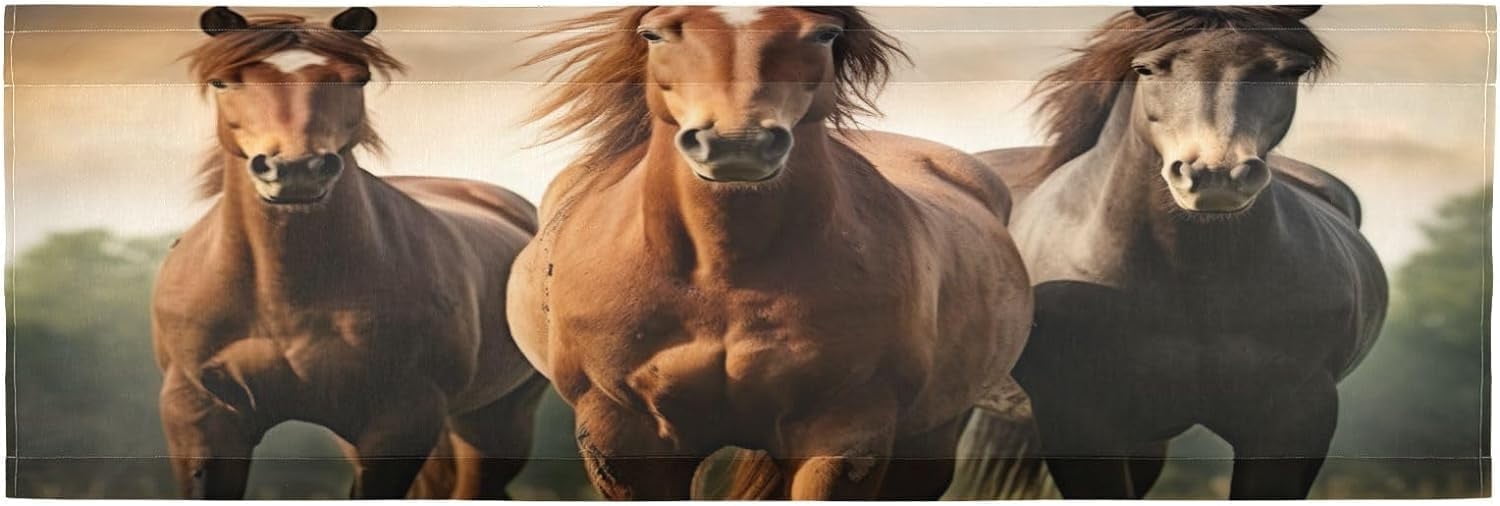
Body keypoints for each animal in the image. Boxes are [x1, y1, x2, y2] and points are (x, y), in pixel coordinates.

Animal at [151, 7, 544, 499]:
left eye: (357, 79)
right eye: (223, 82)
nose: (296, 170)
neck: (285, 290)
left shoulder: (401, 421)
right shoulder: (200, 420)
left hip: (496, 422)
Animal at [507, 6, 1035, 500]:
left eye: (825, 34)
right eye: (653, 34)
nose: (736, 143)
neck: (723, 275)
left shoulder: (844, 434)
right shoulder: (621, 437)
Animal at [974, 6, 1388, 499]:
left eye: (1289, 70)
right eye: (1147, 68)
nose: (1215, 175)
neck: (1191, 282)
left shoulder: (1295, 422)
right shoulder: (1078, 423)